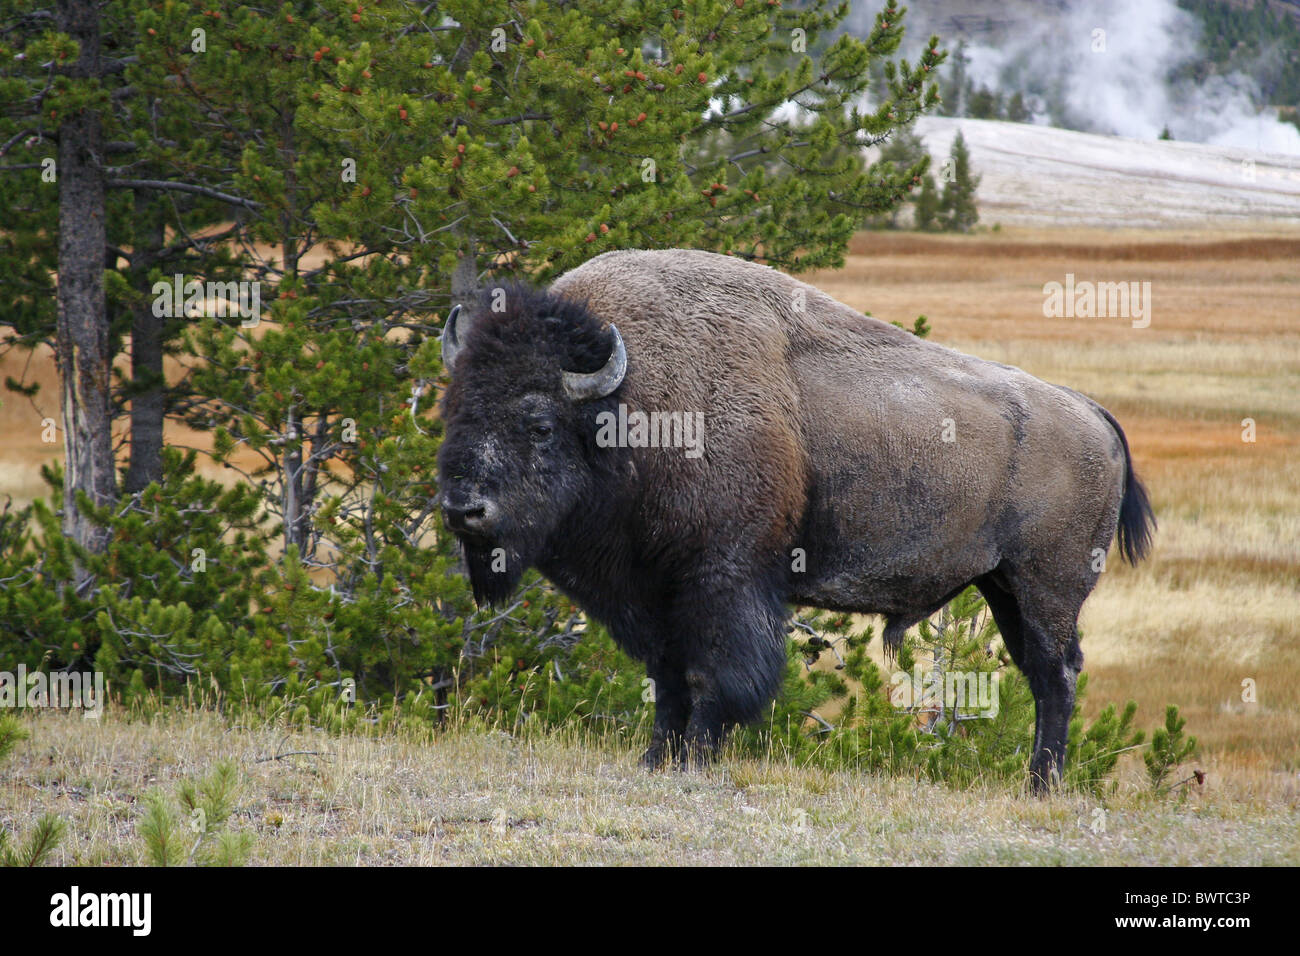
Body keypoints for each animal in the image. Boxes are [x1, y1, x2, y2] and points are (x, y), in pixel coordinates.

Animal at [436, 248, 1155, 791]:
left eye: (538, 423)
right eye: (452, 410)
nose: (464, 508)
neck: (633, 402)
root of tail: (1093, 414)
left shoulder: (725, 579)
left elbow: (713, 676)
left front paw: (696, 761)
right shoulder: (653, 596)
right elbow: (667, 679)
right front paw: (656, 759)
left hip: (1046, 587)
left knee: (1056, 673)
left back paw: (1042, 784)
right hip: (1003, 586)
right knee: (1041, 672)